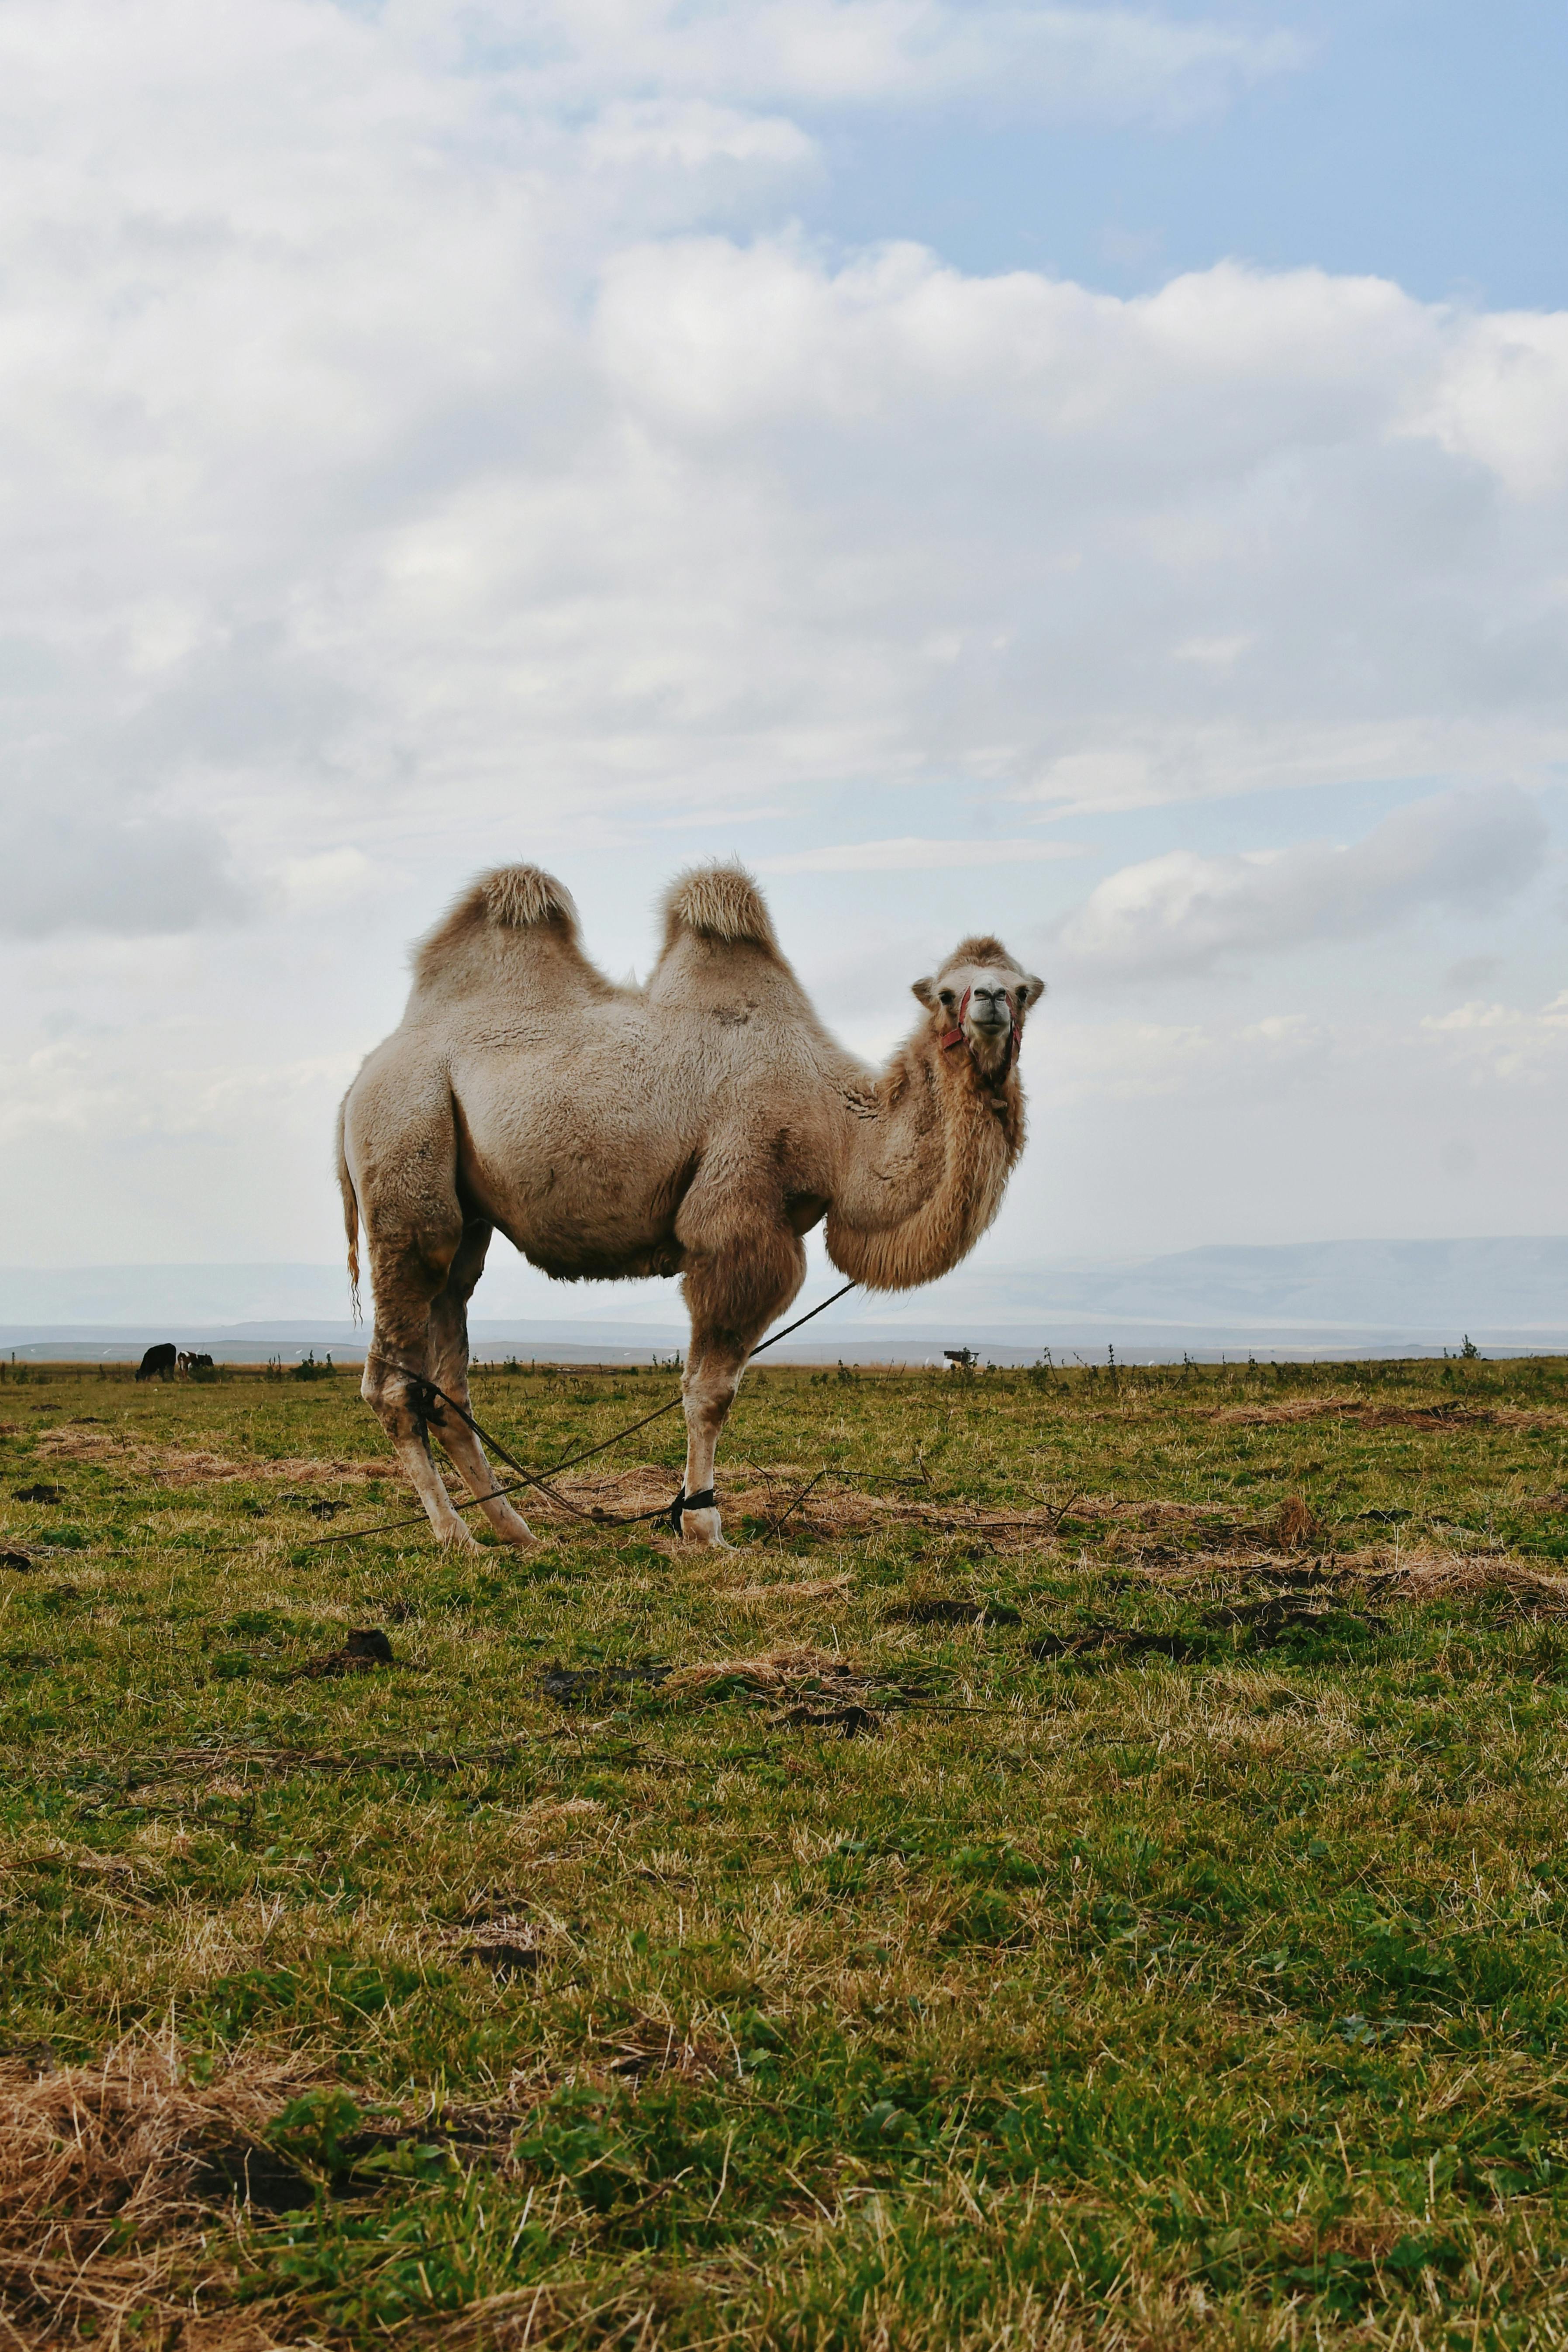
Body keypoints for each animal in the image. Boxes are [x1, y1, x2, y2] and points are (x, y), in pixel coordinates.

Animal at [336, 864, 1043, 1550]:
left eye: (1020, 988)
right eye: (948, 992)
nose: (987, 1004)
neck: (839, 1128)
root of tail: (362, 1078)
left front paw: (689, 1518)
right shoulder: (739, 1224)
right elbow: (709, 1394)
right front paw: (704, 1526)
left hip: (465, 1216)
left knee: (448, 1366)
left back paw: (518, 1531)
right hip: (405, 1144)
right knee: (394, 1376)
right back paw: (456, 1536)